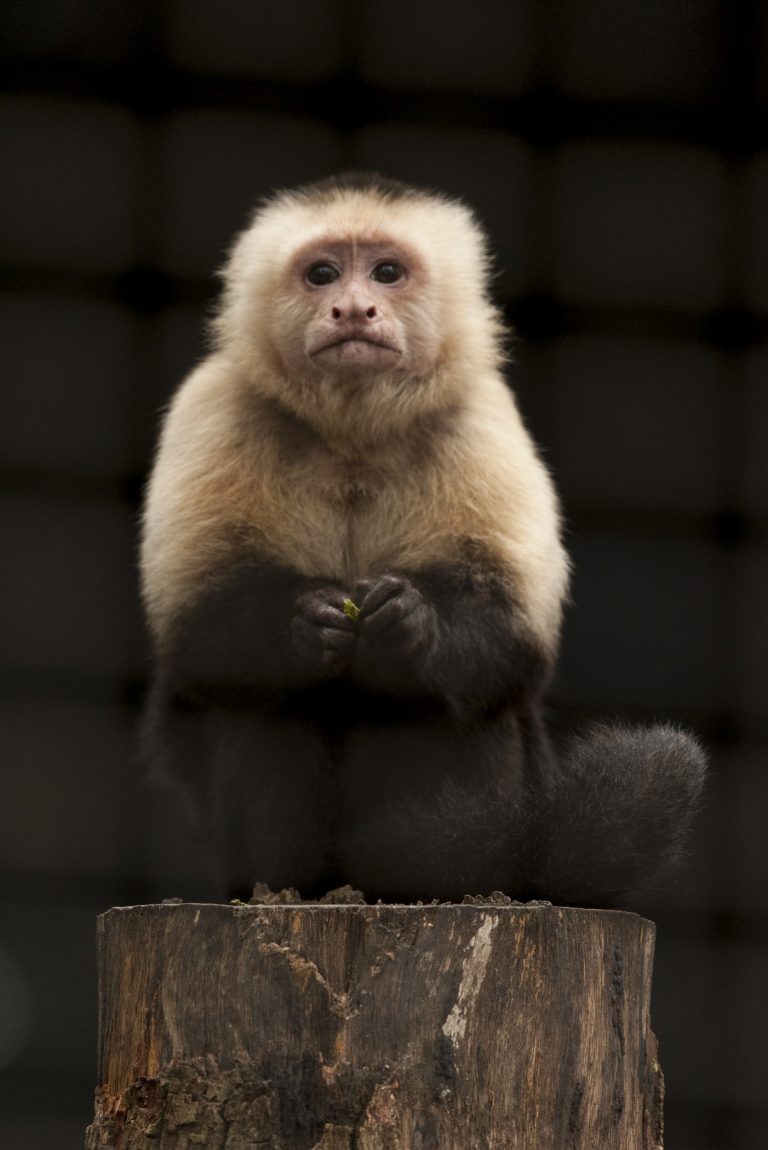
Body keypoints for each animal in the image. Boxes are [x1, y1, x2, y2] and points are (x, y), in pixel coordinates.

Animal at [140, 172, 705, 907]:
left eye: (387, 273)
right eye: (322, 275)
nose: (354, 310)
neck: (353, 437)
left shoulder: (481, 420)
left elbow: (512, 645)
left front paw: (412, 624)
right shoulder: (213, 406)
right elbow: (197, 639)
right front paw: (304, 622)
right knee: (267, 705)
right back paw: (285, 884)